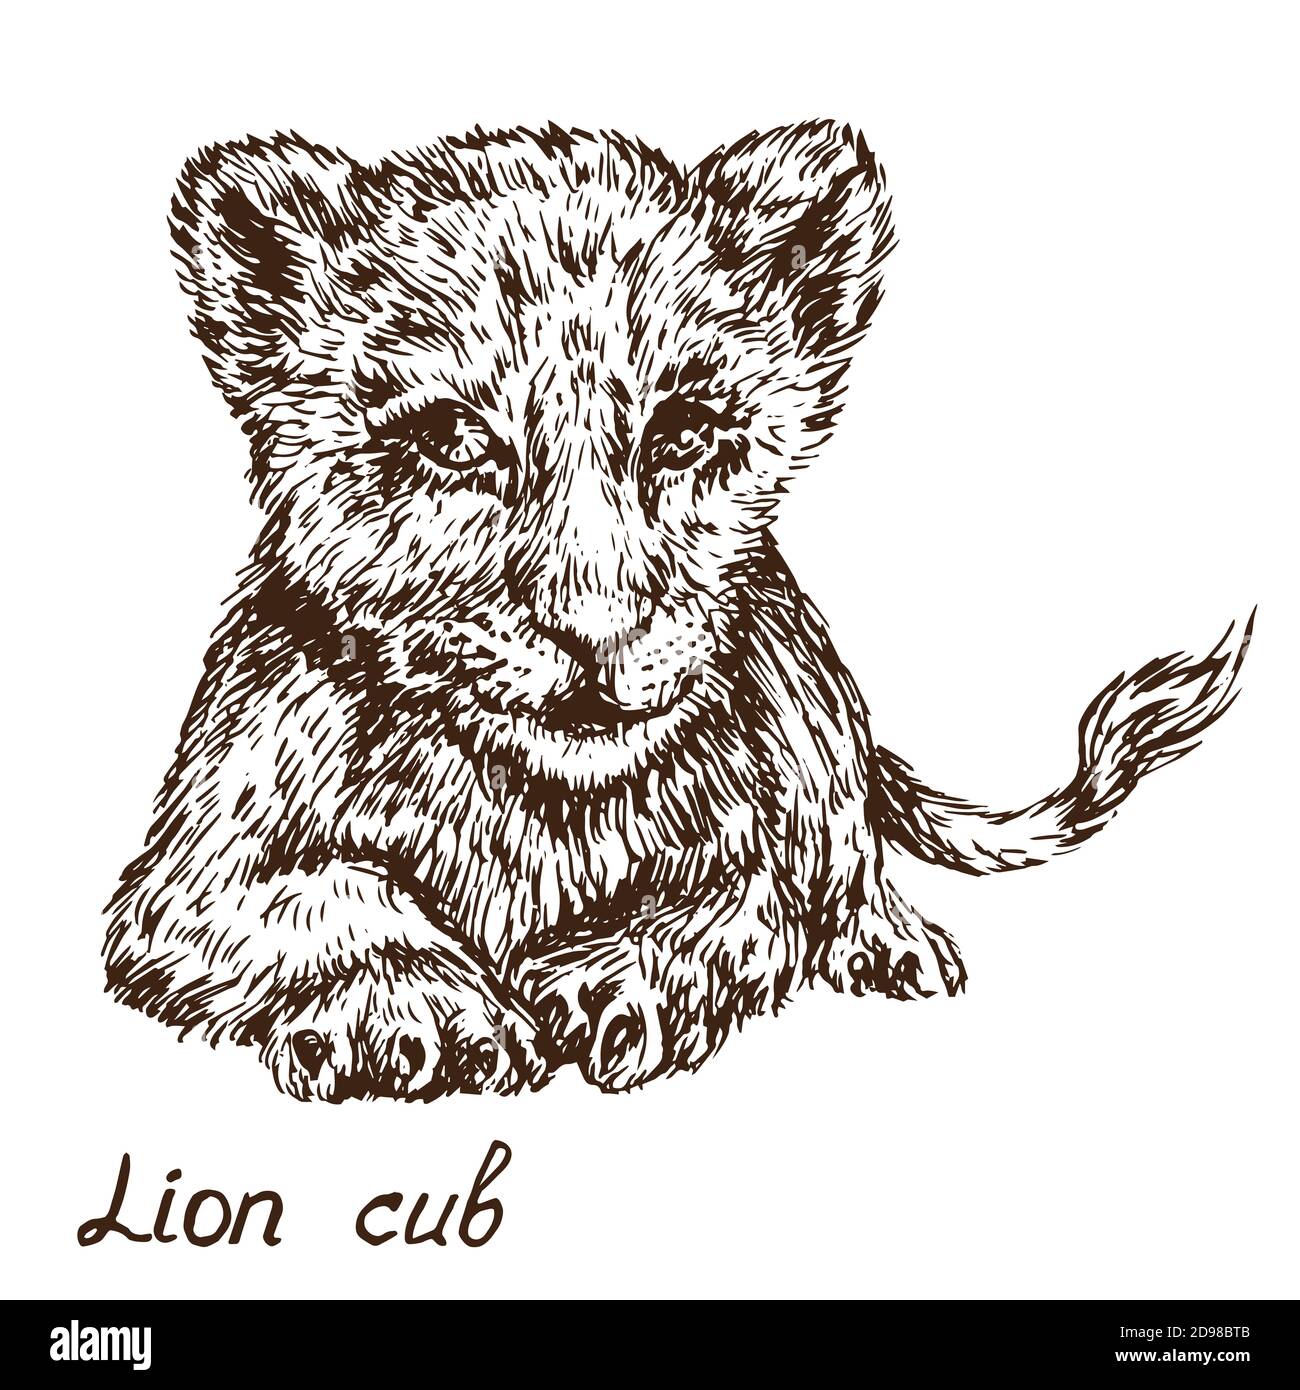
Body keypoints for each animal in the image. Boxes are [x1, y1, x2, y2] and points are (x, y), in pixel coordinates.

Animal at [104, 122, 1251, 1100]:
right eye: (453, 442)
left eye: (685, 433)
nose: (595, 633)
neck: (540, 811)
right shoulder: (182, 886)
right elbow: (329, 898)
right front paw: (423, 1017)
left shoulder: (760, 846)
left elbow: (739, 904)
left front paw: (611, 981)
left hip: (820, 727)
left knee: (849, 856)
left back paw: (894, 947)